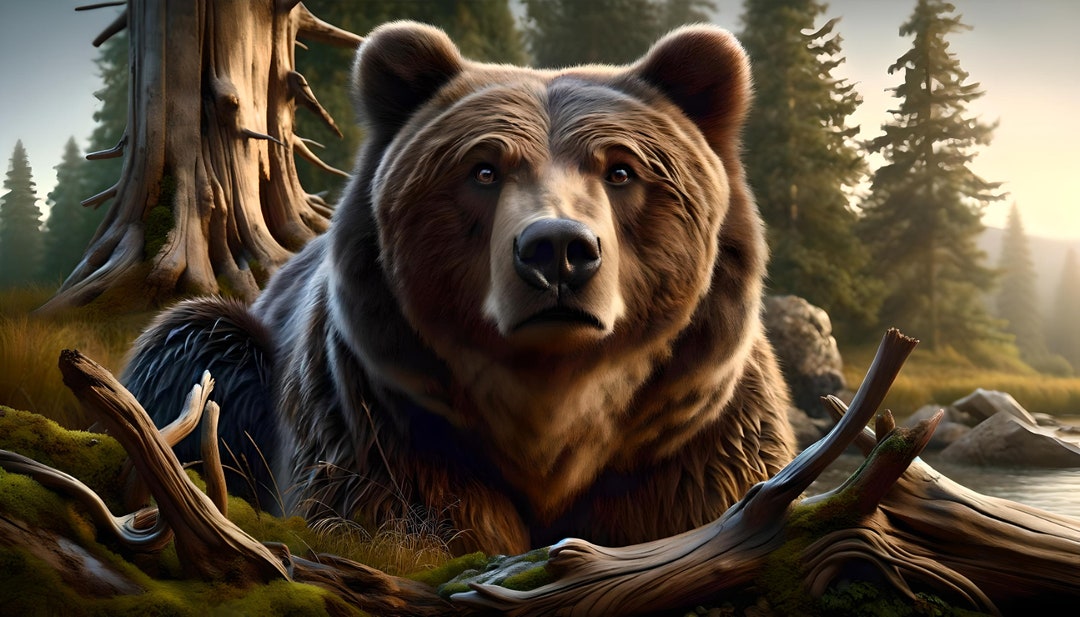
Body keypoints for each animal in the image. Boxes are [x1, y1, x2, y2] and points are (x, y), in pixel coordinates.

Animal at [122, 21, 795, 555]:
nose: (557, 249)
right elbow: (395, 525)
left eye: (622, 170)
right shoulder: (379, 429)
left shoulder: (694, 443)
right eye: (484, 169)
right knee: (193, 345)